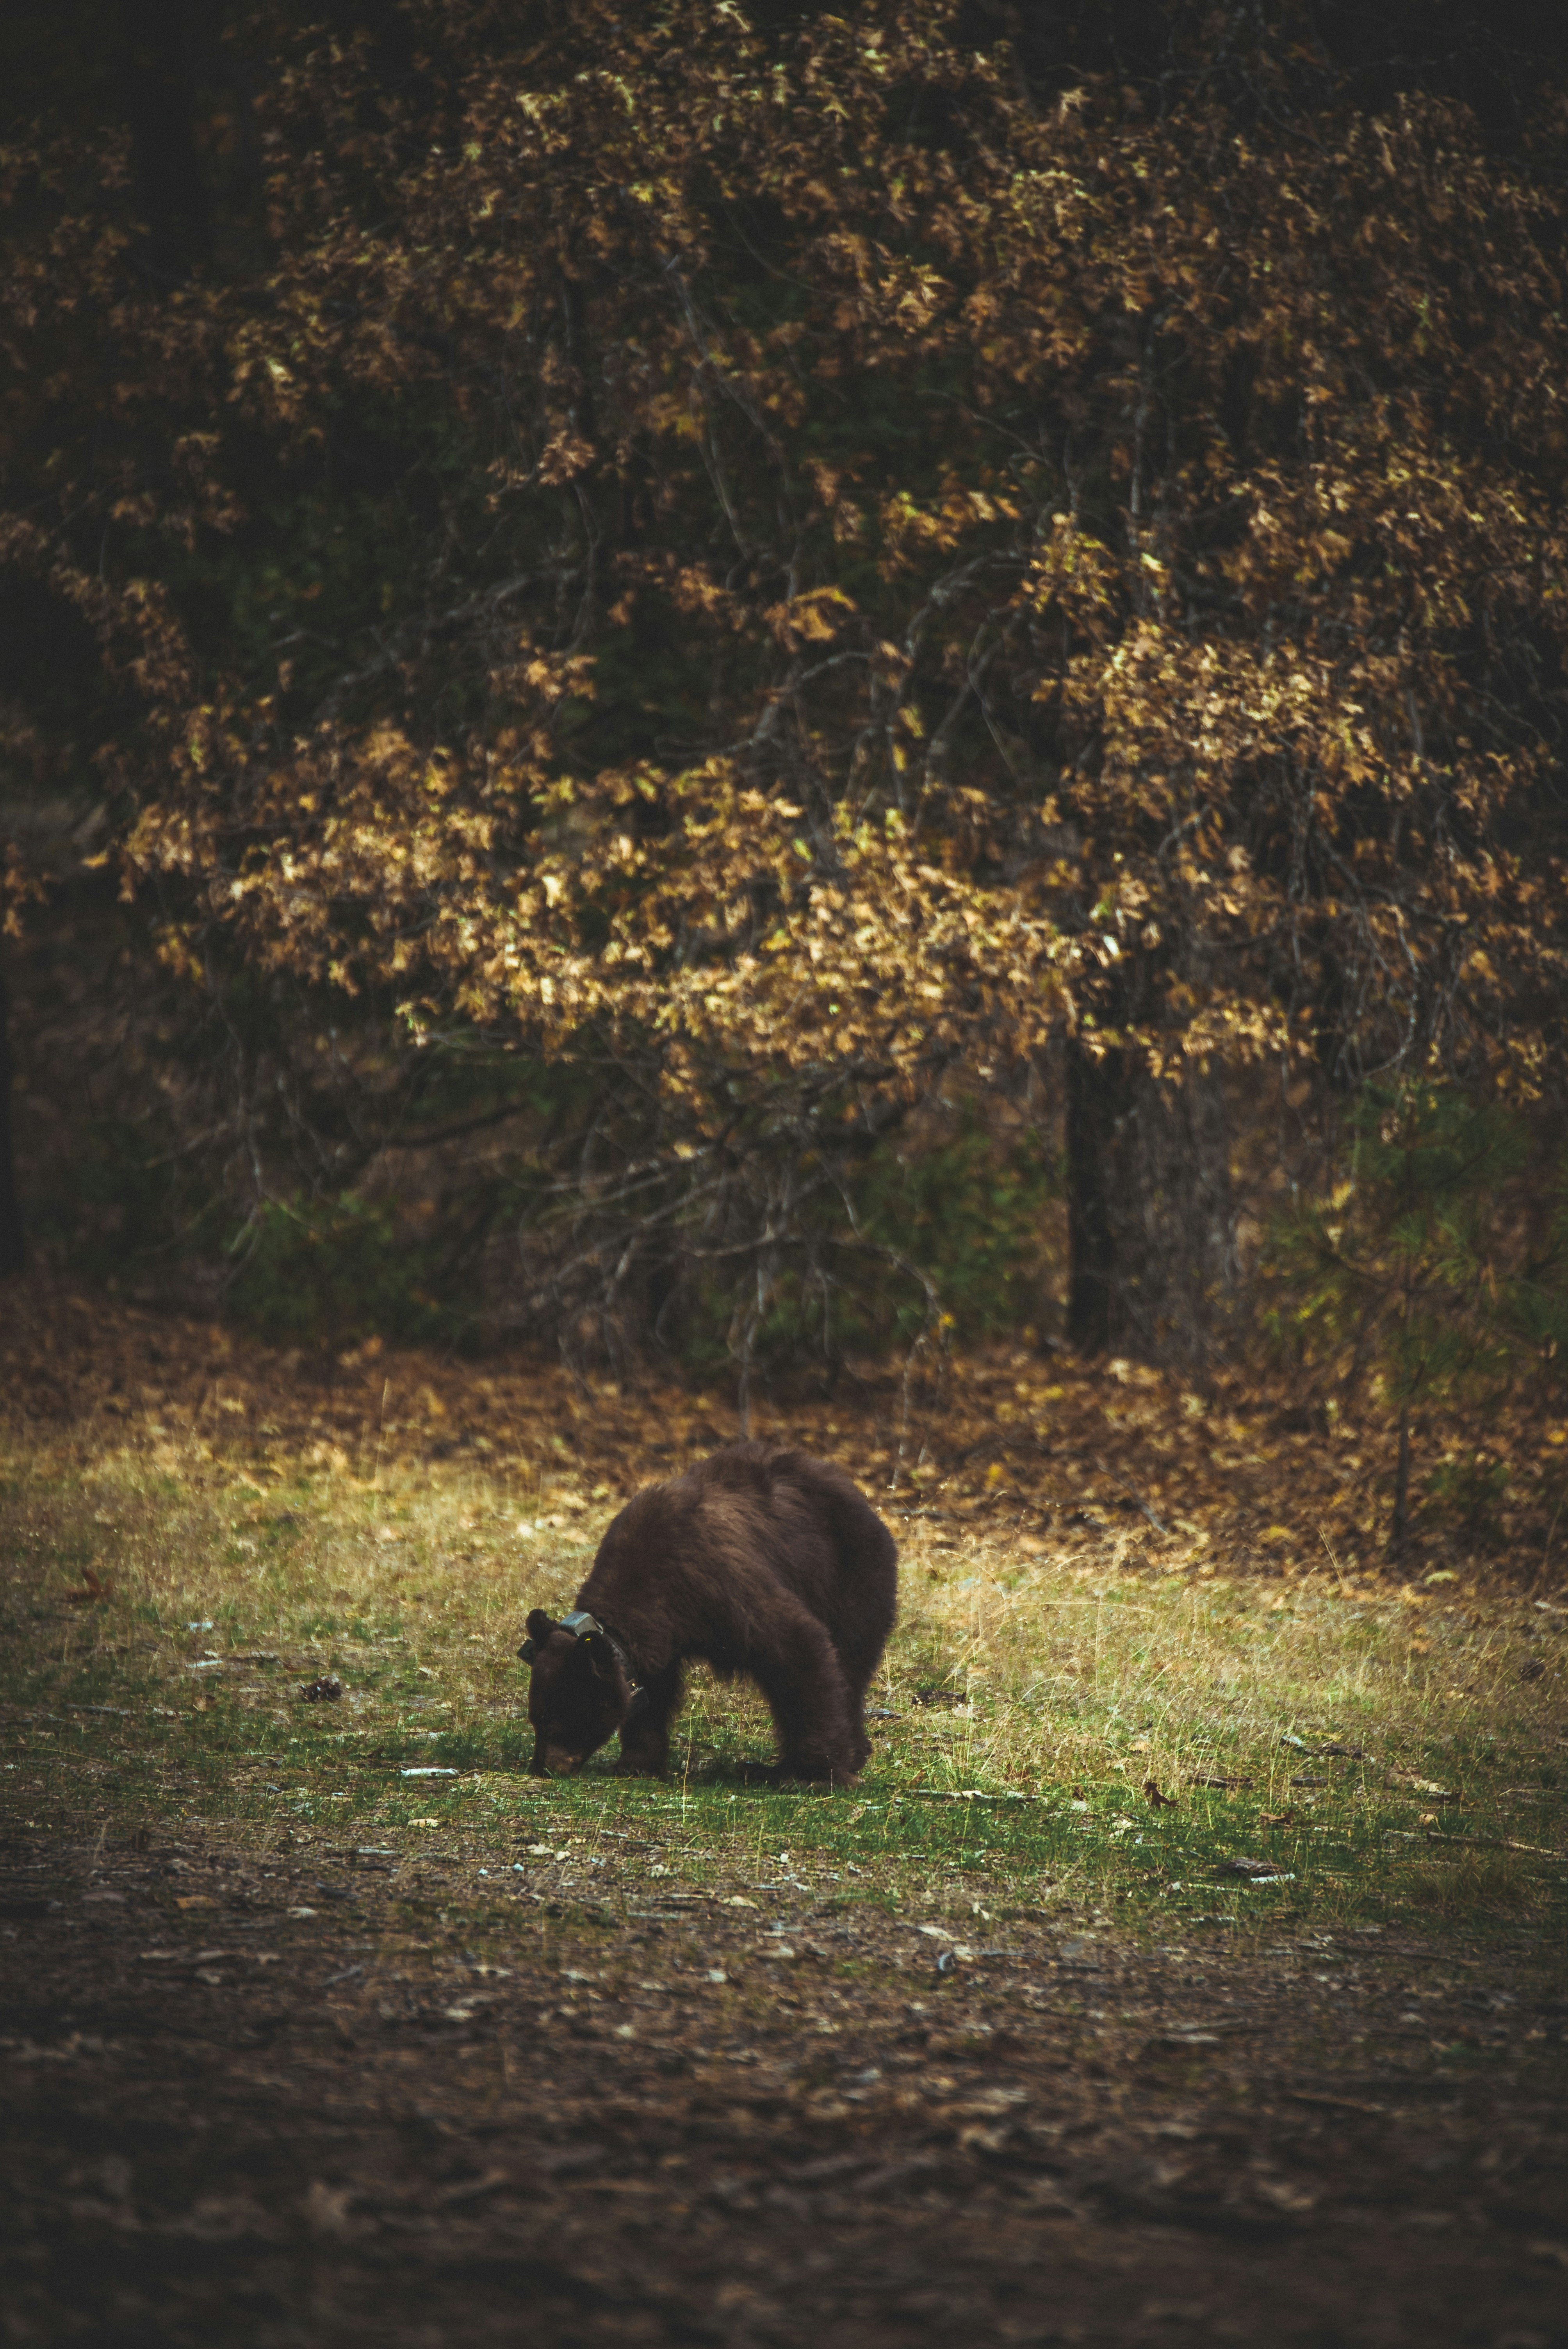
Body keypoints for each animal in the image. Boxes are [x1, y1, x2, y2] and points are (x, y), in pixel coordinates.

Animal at [519, 1442, 898, 1785]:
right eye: (535, 1719)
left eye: (554, 1720)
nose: (544, 1767)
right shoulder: (658, 1636)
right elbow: (653, 1692)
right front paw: (636, 1762)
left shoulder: (721, 1587)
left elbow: (797, 1645)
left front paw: (815, 1774)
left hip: (854, 1578)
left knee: (849, 1665)